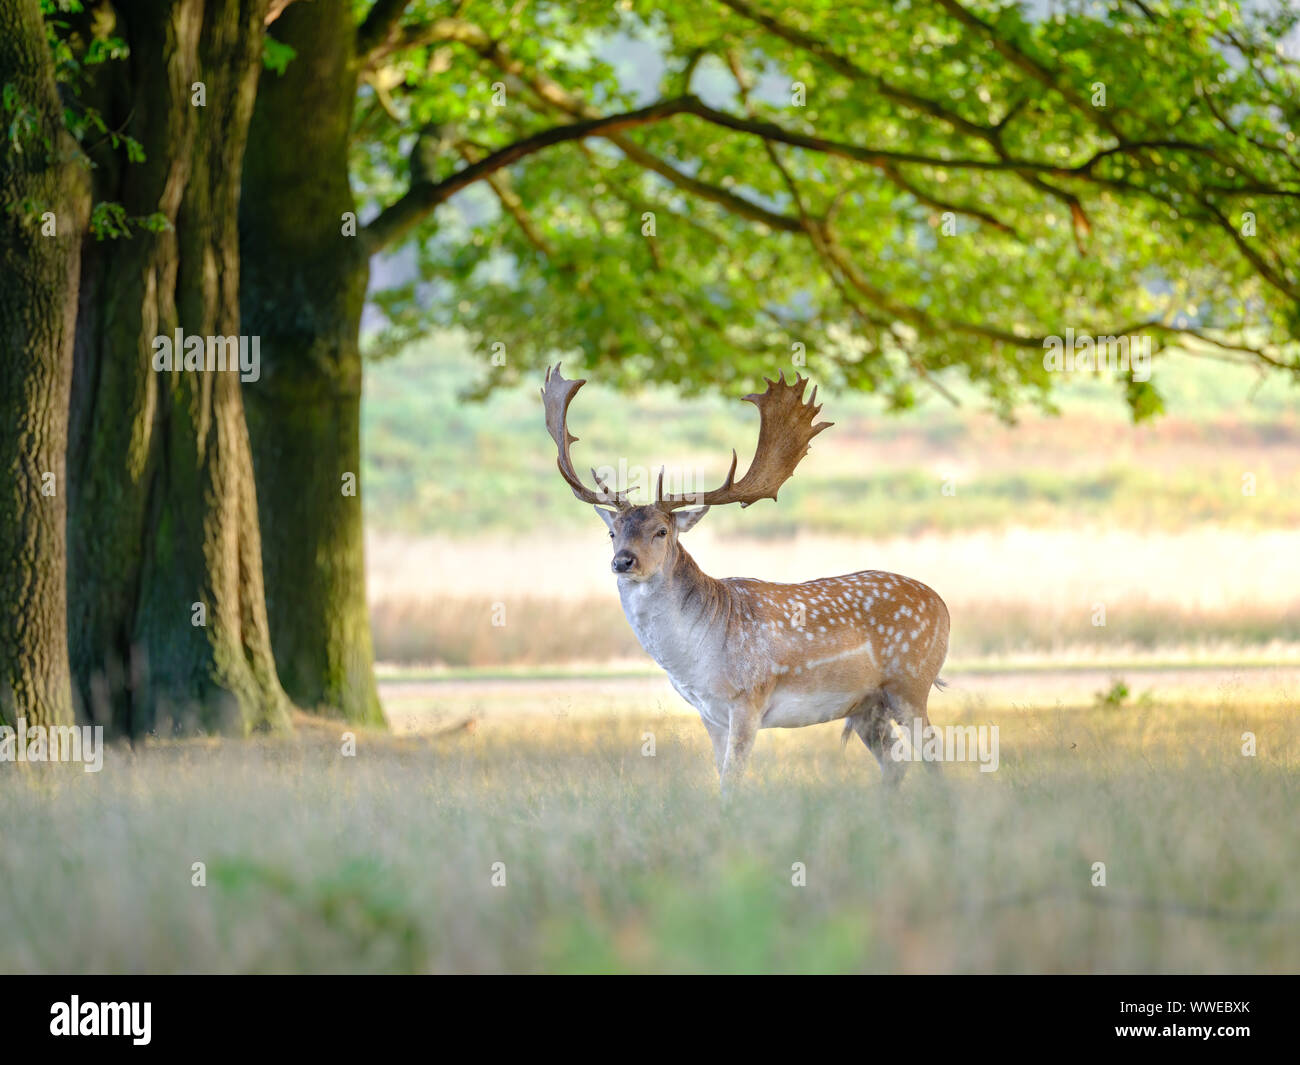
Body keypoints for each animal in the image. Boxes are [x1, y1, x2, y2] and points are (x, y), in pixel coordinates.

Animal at [541, 365, 950, 793]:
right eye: (612, 532)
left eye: (661, 531)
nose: (623, 561)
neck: (695, 658)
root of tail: (942, 605)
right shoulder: (709, 712)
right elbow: (722, 775)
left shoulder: (748, 698)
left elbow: (733, 781)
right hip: (867, 704)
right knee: (895, 761)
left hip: (911, 682)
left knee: (933, 755)